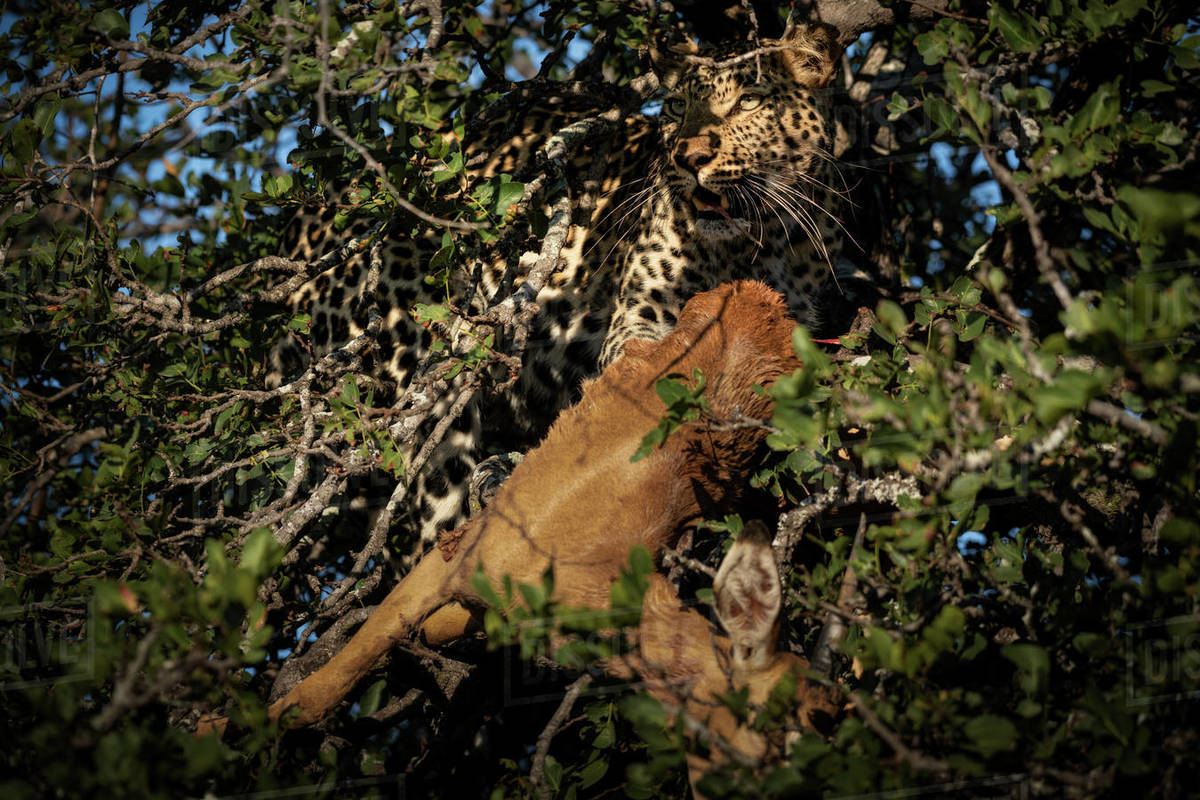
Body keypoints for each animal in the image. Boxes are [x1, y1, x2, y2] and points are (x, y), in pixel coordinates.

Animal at [268, 23, 848, 546]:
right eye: (678, 107)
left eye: (750, 101)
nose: (689, 157)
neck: (751, 243)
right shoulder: (641, 314)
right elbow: (644, 369)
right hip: (421, 367)